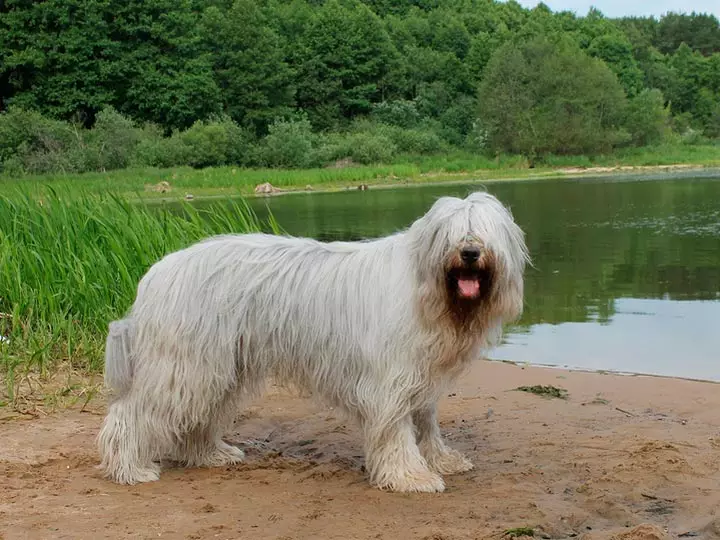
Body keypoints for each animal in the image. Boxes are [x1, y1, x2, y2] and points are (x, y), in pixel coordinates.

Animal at [97, 191, 528, 494]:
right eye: (451, 234)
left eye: (485, 232)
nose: (470, 252)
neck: (426, 286)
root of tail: (156, 274)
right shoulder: (390, 381)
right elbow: (395, 432)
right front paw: (410, 476)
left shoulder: (420, 377)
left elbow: (426, 423)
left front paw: (440, 460)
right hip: (184, 364)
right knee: (130, 413)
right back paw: (130, 467)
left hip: (219, 366)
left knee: (198, 416)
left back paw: (210, 454)